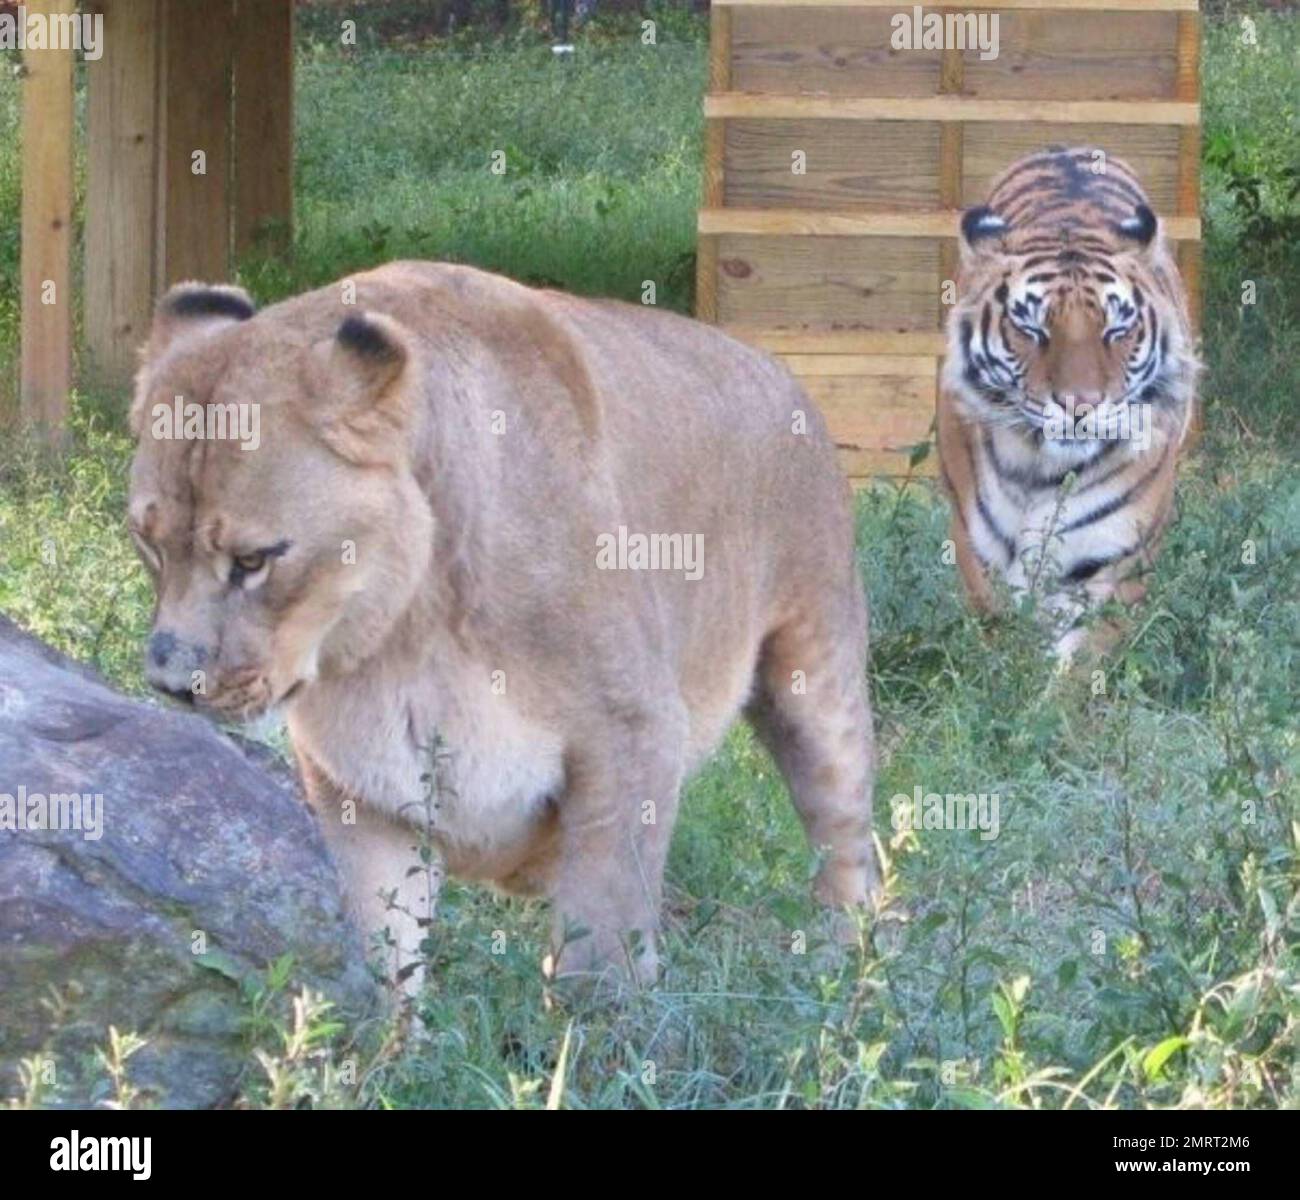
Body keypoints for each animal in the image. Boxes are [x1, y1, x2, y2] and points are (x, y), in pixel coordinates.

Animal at [127, 261, 879, 992]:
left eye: (253, 561)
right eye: (148, 543)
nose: (171, 684)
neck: (402, 630)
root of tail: (780, 371)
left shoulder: (631, 735)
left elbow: (600, 954)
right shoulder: (361, 794)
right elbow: (382, 958)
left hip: (815, 683)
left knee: (849, 847)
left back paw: (848, 981)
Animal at [937, 146, 1199, 661]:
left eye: (1116, 330)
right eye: (1031, 329)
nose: (1081, 406)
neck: (1040, 470)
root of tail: (1066, 148)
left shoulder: (1114, 561)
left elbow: (1076, 662)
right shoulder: (978, 554)